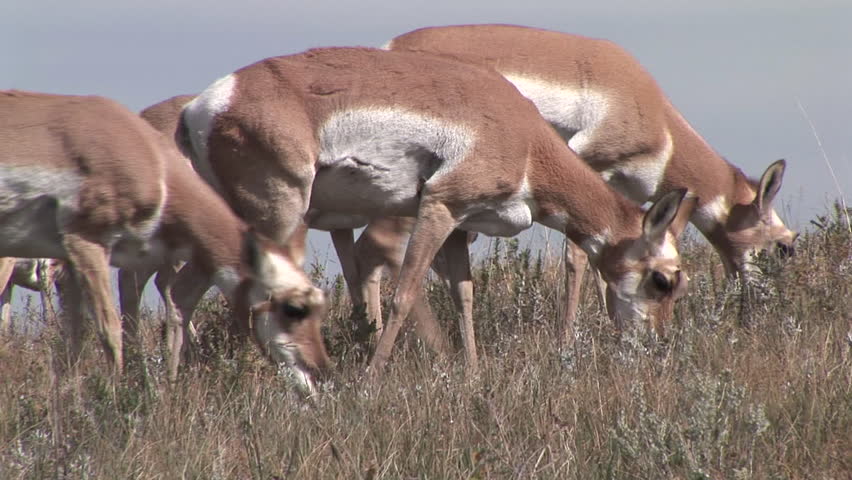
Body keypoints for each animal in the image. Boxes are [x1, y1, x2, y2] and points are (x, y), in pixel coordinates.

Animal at [0, 91, 329, 391]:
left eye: (319, 304)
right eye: (294, 308)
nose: (321, 369)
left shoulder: (69, 267)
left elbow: (73, 337)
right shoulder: (86, 245)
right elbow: (108, 328)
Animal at [179, 47, 692, 377]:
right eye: (663, 280)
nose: (658, 345)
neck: (525, 139)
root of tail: (205, 105)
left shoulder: (459, 225)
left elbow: (464, 294)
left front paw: (472, 373)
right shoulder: (439, 208)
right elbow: (404, 294)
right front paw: (372, 381)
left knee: (185, 289)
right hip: (279, 216)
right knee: (249, 294)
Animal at [385, 24, 798, 339]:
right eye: (784, 248)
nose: (768, 309)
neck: (655, 116)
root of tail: (393, 47)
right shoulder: (586, 169)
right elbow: (578, 256)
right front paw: (569, 335)